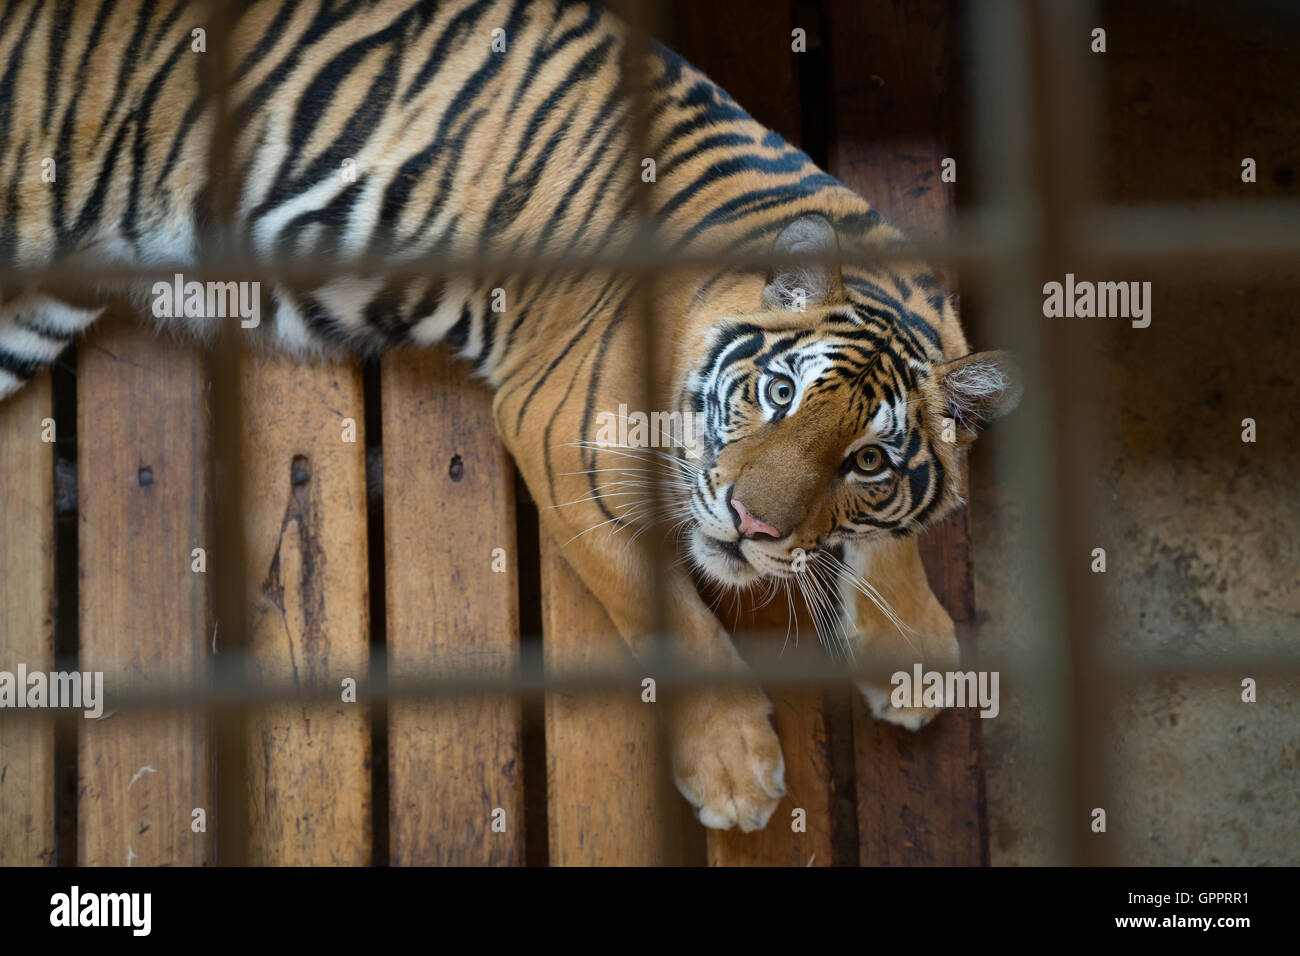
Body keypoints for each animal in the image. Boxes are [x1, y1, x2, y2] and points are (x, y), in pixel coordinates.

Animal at [0, 0, 1021, 833]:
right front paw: (735, 772)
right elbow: (665, 614)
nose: (750, 524)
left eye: (869, 462)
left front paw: (913, 651)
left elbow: (890, 544)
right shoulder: (561, 442)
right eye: (778, 395)